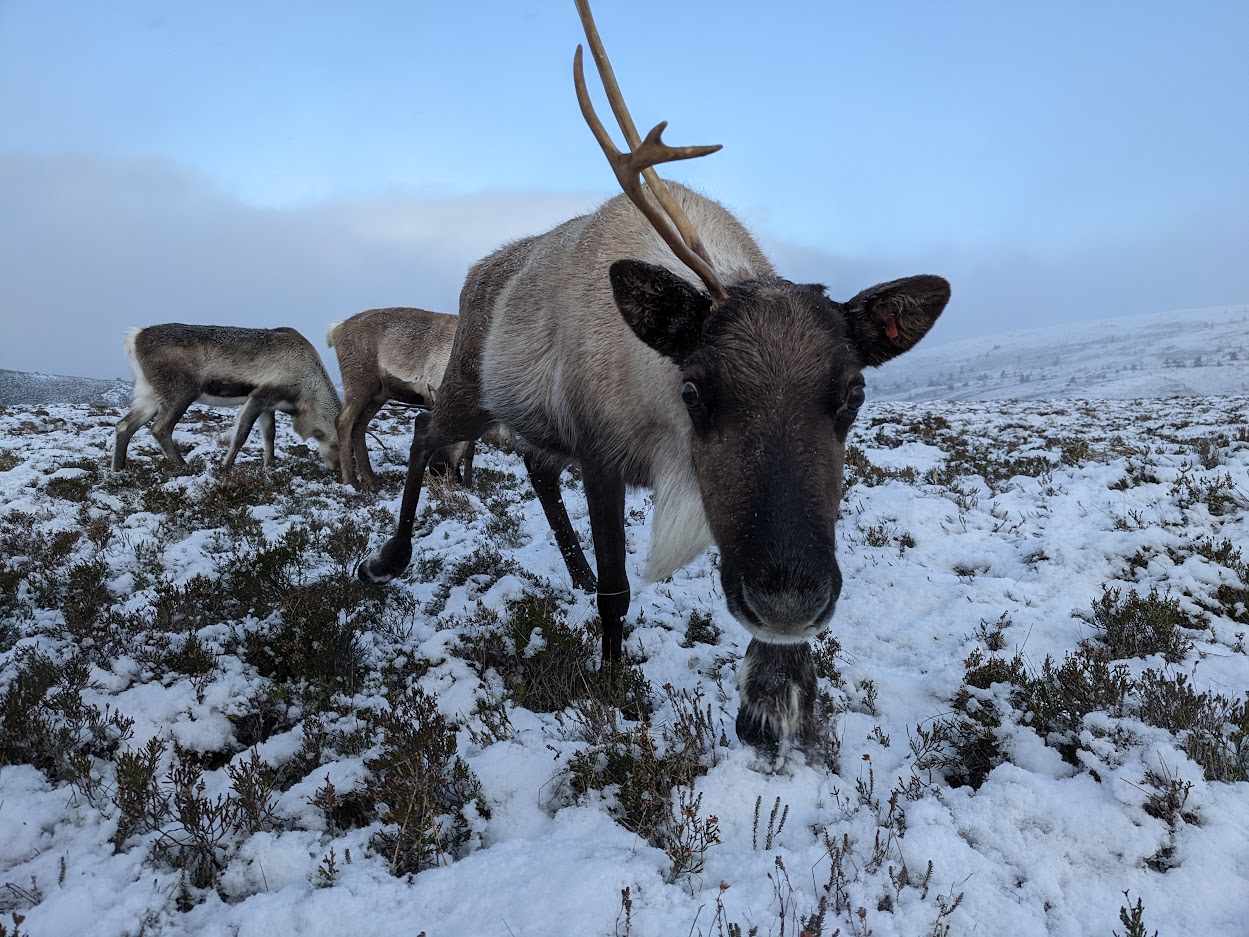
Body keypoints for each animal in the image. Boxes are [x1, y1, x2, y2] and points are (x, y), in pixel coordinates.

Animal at [112, 323, 341, 474]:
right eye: (338, 445)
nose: (337, 469)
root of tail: (135, 338)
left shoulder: (269, 406)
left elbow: (270, 435)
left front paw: (270, 466)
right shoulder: (260, 395)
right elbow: (241, 434)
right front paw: (225, 467)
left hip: (148, 395)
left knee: (124, 425)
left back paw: (118, 470)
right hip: (180, 393)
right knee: (160, 428)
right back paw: (185, 467)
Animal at [326, 307, 476, 491]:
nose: (438, 468)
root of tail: (336, 329)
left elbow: (470, 448)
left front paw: (467, 481)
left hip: (379, 394)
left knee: (359, 426)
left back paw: (371, 479)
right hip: (359, 384)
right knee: (343, 421)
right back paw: (351, 480)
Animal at [357, 0, 950, 752]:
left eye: (854, 392)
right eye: (694, 389)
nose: (786, 600)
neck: (662, 424)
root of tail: (478, 271)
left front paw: (775, 691)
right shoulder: (601, 454)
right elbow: (618, 588)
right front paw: (610, 687)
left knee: (534, 466)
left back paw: (572, 568)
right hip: (469, 390)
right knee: (422, 430)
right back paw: (387, 558)